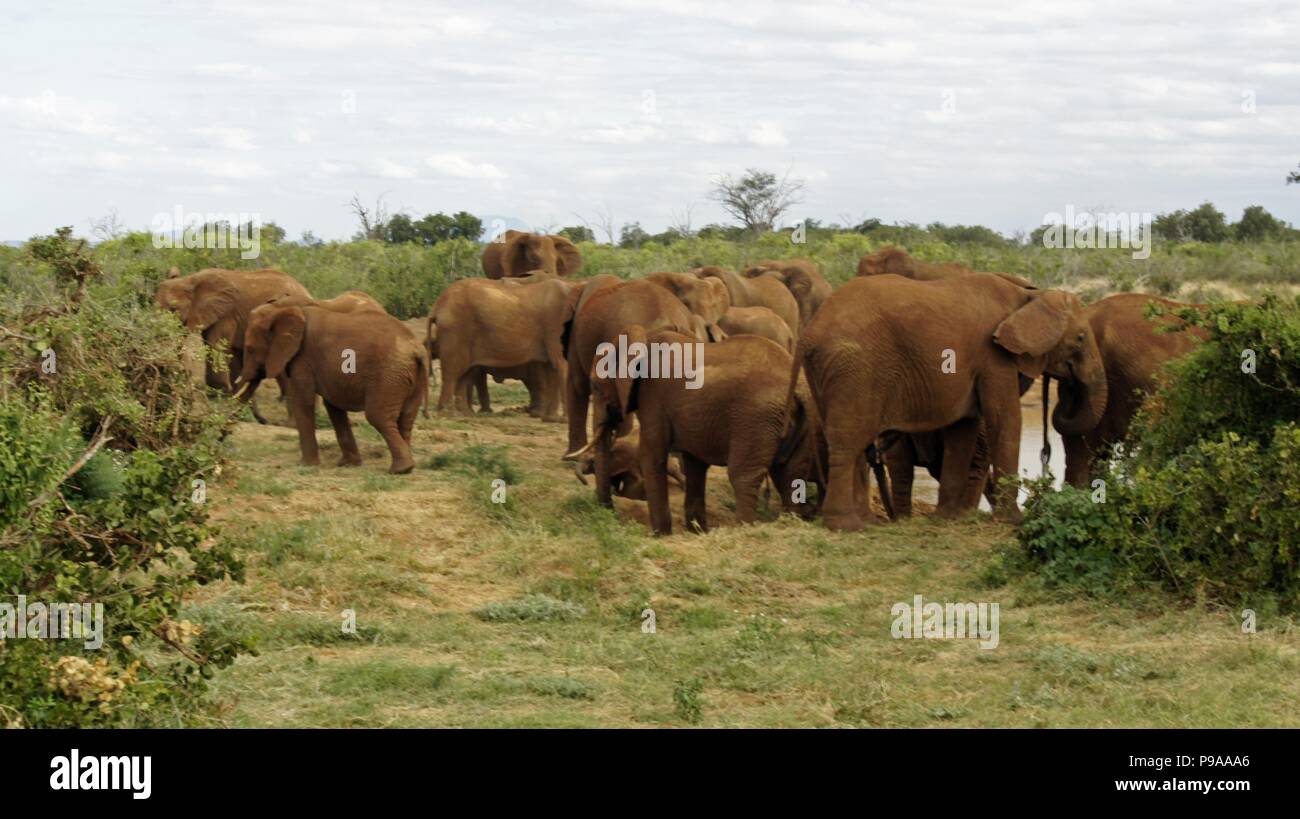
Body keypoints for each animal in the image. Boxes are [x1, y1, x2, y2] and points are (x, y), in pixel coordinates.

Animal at [154, 266, 311, 423]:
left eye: (173, 309)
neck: (190, 280)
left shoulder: (226, 314)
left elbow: (216, 348)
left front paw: (218, 398)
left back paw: (289, 423)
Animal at [234, 303, 428, 474]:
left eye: (250, 349)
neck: (281, 310)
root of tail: (417, 349)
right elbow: (334, 407)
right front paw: (348, 464)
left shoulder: (303, 360)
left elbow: (303, 401)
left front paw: (306, 465)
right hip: (411, 377)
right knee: (406, 418)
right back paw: (407, 467)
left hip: (389, 375)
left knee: (378, 416)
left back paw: (401, 469)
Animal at [431, 276, 581, 421]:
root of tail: (438, 304)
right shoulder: (556, 324)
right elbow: (561, 365)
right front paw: (562, 420)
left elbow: (554, 368)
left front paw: (552, 419)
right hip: (455, 330)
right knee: (453, 371)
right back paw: (448, 415)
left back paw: (461, 415)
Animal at [577, 330, 824, 534]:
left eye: (596, 386)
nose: (610, 511)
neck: (642, 337)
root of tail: (799, 387)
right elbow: (695, 464)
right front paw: (697, 531)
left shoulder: (653, 398)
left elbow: (653, 456)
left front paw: (661, 535)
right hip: (802, 422)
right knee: (790, 474)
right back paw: (789, 523)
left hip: (756, 418)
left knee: (743, 476)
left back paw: (743, 529)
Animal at [796, 272, 1106, 531]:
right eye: (1080, 338)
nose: (1068, 388)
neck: (1030, 295)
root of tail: (811, 331)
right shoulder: (994, 357)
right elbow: (1004, 418)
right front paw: (1013, 522)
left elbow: (962, 428)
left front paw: (949, 518)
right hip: (853, 366)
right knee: (848, 441)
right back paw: (845, 526)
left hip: (829, 373)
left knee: (854, 442)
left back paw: (866, 521)